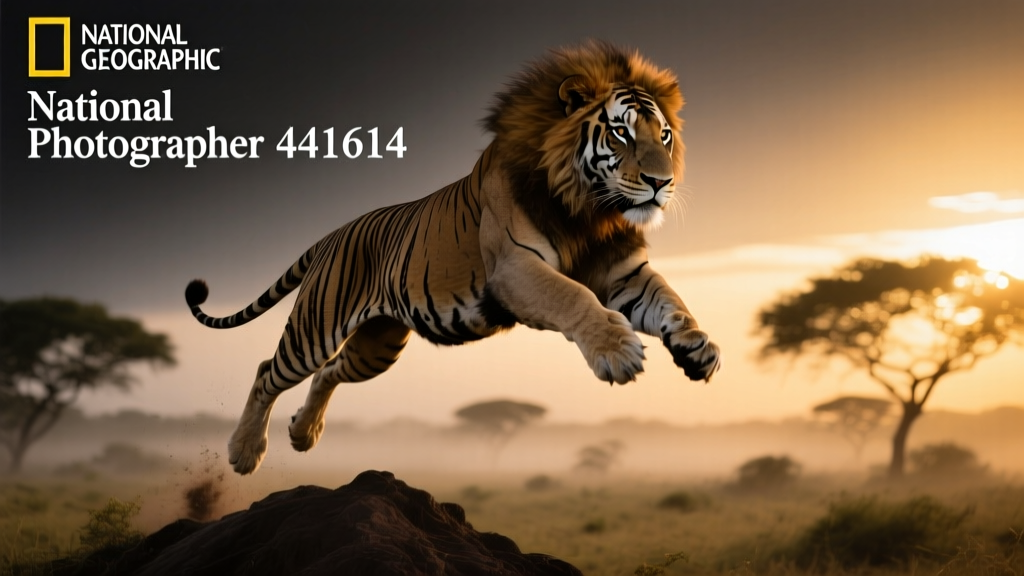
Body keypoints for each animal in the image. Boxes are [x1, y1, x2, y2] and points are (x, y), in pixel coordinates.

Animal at [185, 41, 721, 475]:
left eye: (664, 135)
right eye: (621, 134)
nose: (662, 182)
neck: (590, 210)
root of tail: (334, 235)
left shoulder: (622, 271)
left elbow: (670, 301)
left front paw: (698, 347)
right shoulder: (516, 269)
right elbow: (573, 296)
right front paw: (617, 350)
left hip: (377, 346)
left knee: (329, 372)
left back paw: (303, 432)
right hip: (317, 326)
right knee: (268, 371)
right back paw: (244, 452)